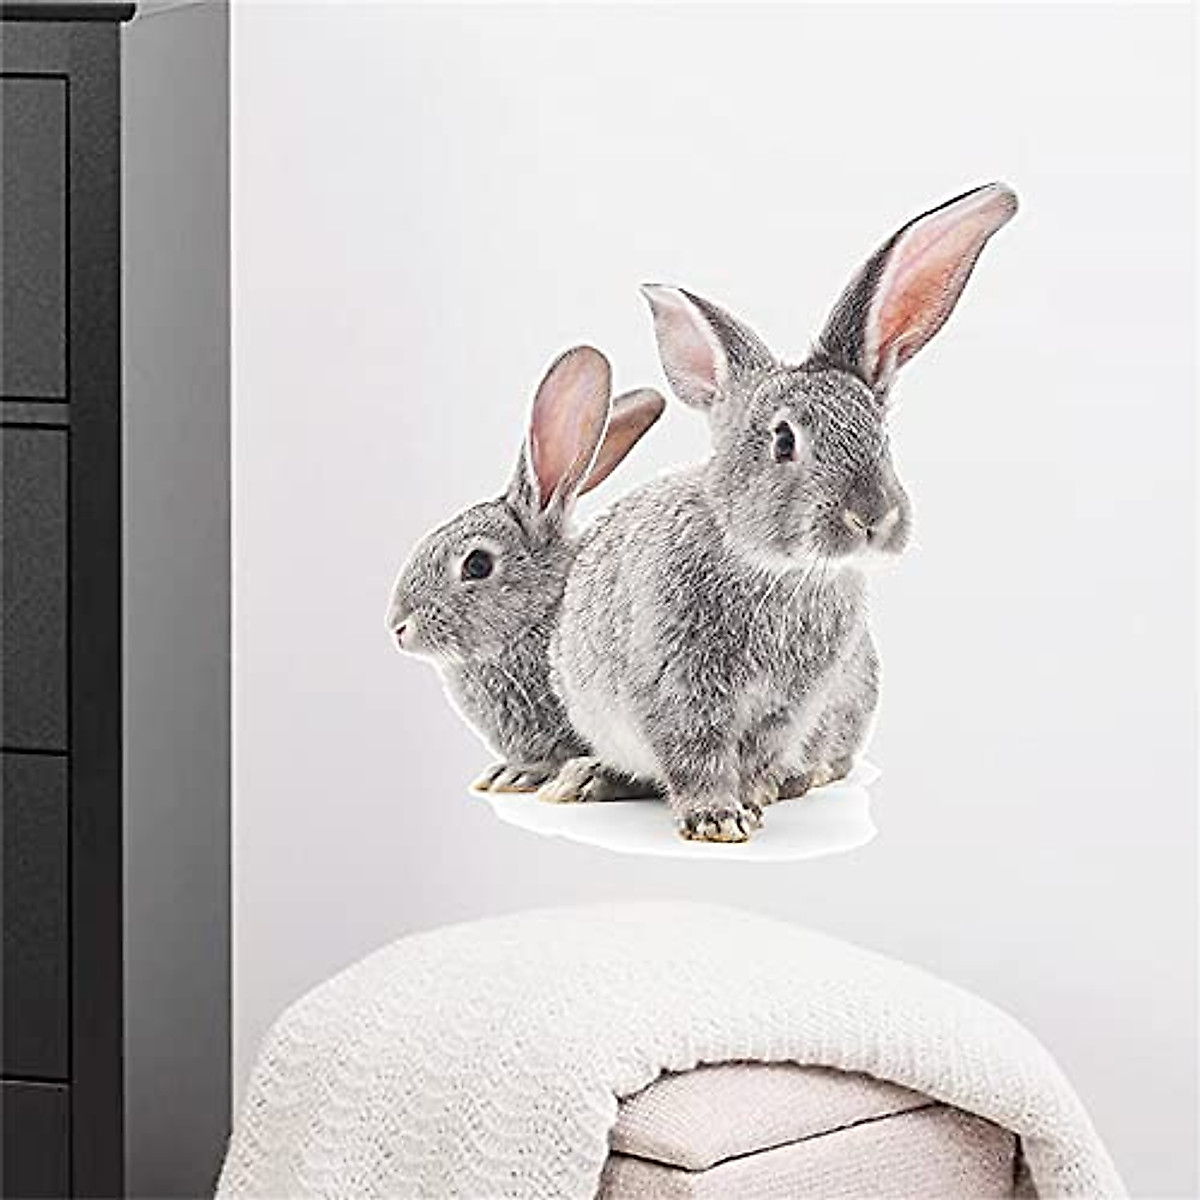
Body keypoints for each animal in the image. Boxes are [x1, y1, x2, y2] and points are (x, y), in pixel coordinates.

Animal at [542, 183, 1018, 840]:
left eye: (881, 437)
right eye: (784, 441)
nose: (871, 517)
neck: (779, 571)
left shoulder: (788, 707)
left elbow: (756, 755)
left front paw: (754, 799)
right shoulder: (677, 691)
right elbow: (696, 754)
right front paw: (717, 819)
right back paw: (585, 780)